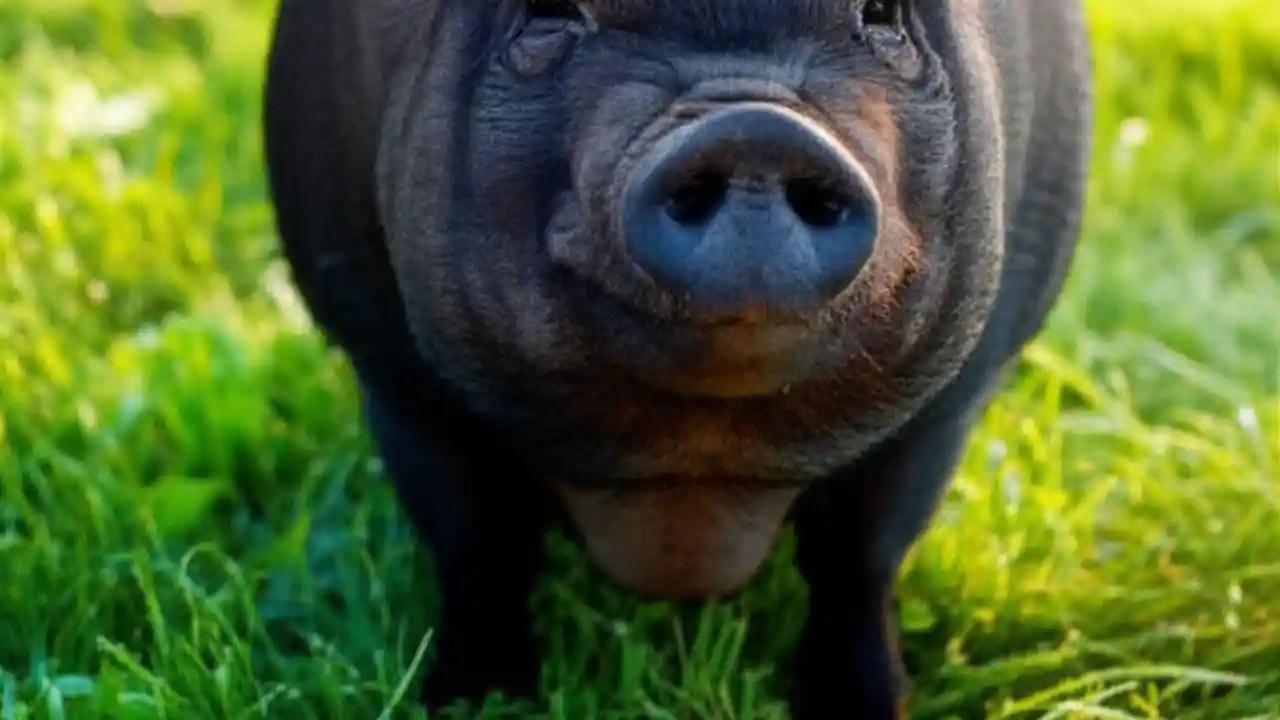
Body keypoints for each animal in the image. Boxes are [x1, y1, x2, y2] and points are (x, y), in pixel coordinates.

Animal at [262, 0, 1092, 716]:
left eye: (881, 13)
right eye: (550, 10)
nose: (754, 129)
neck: (693, 481)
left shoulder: (949, 402)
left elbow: (861, 557)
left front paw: (866, 707)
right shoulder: (399, 380)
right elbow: (478, 546)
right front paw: (473, 701)